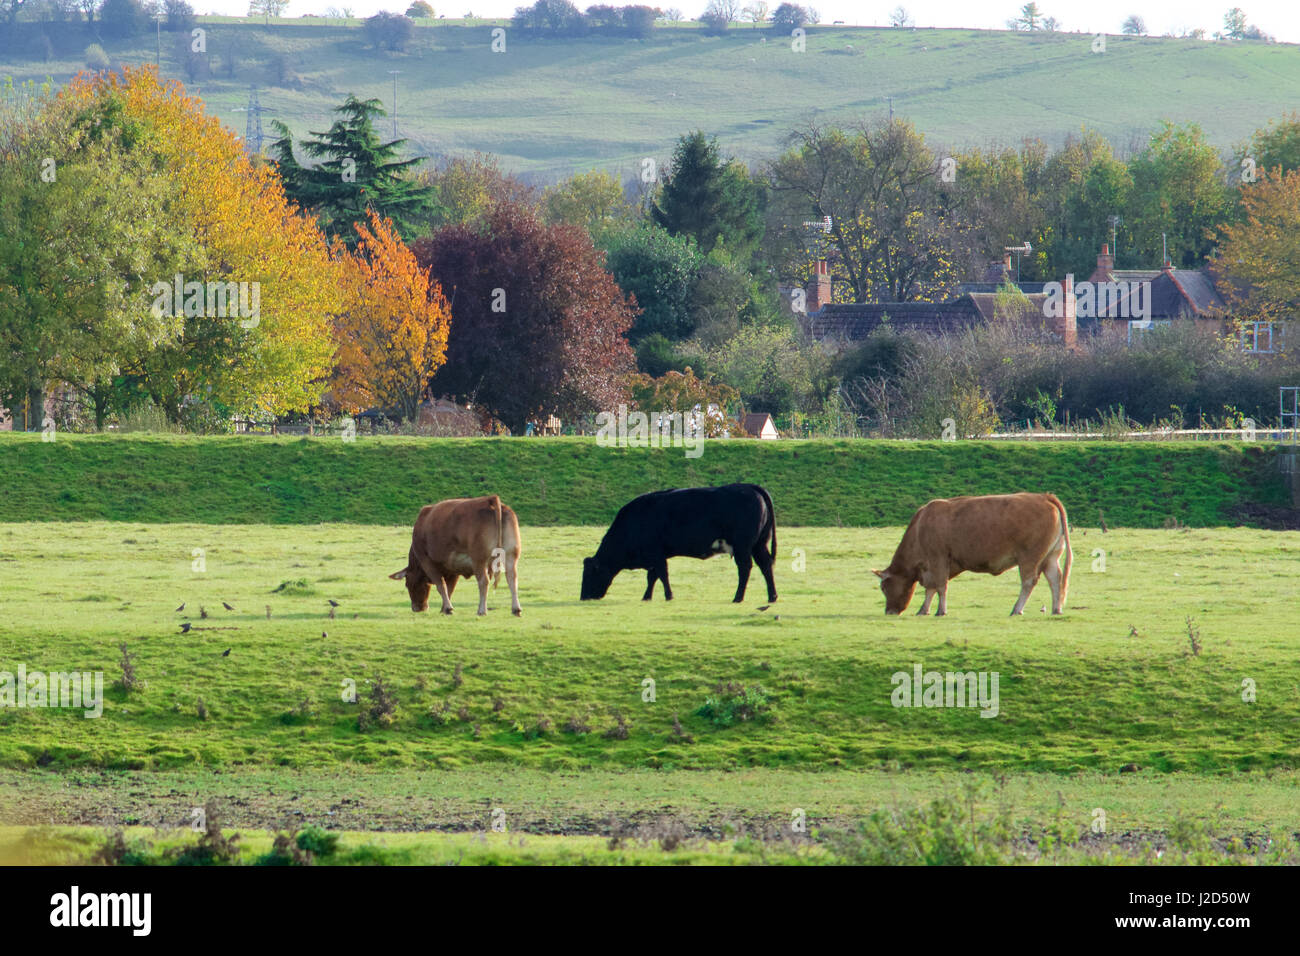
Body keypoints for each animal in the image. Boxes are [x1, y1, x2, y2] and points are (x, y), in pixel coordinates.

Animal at [388, 495, 522, 616]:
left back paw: (482, 610)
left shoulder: (427, 562)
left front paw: (447, 608)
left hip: (479, 559)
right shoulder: (454, 568)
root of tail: (490, 500)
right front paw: (444, 608)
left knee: (484, 581)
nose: (417, 608)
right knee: (512, 578)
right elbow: (450, 588)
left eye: (407, 584)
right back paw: (516, 608)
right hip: (511, 555)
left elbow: (441, 585)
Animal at [581, 483, 777, 604]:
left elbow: (661, 574)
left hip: (743, 546)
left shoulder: (655, 554)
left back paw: (738, 597)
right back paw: (772, 596)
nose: (583, 597)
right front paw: (647, 597)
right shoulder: (656, 555)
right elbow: (653, 576)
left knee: (745, 568)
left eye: (590, 573)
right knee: (766, 565)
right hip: (759, 544)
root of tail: (749, 487)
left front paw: (668, 595)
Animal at [873, 492, 1072, 617]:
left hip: (1030, 557)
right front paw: (924, 610)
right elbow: (931, 588)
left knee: (1029, 582)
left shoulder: (938, 559)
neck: (920, 528)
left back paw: (1017, 609)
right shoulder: (932, 566)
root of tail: (1044, 496)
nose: (889, 611)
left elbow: (940, 586)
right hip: (1051, 557)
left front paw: (941, 611)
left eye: (884, 588)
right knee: (1056, 579)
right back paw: (1056, 609)